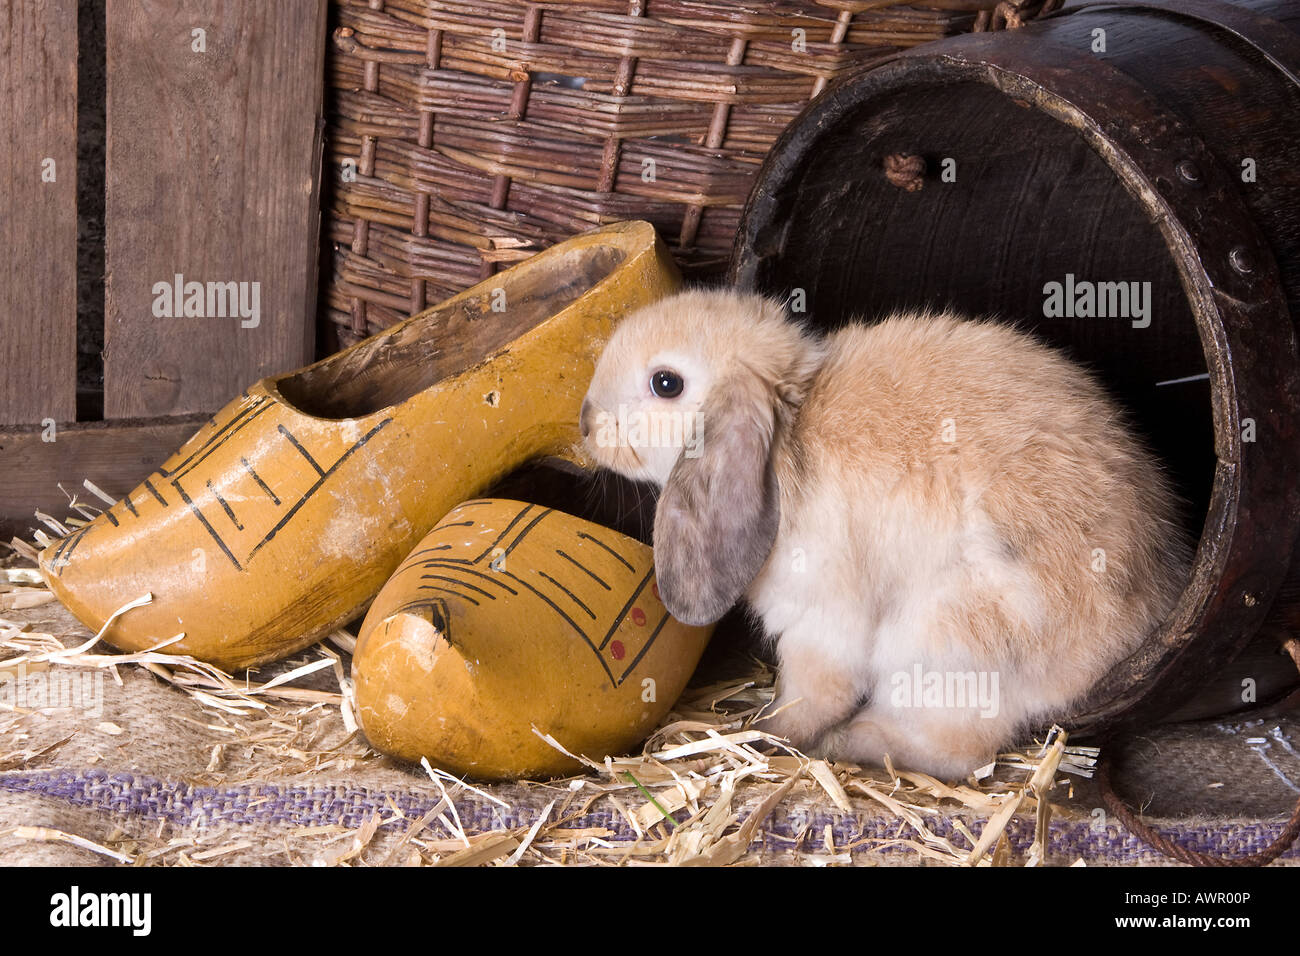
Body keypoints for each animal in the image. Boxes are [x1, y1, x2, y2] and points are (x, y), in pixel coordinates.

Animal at [578, 288, 1192, 779]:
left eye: (666, 383)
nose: (585, 423)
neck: (787, 435)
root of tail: (1134, 625)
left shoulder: (822, 622)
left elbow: (811, 693)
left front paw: (768, 733)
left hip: (938, 640)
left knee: (957, 750)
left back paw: (850, 742)